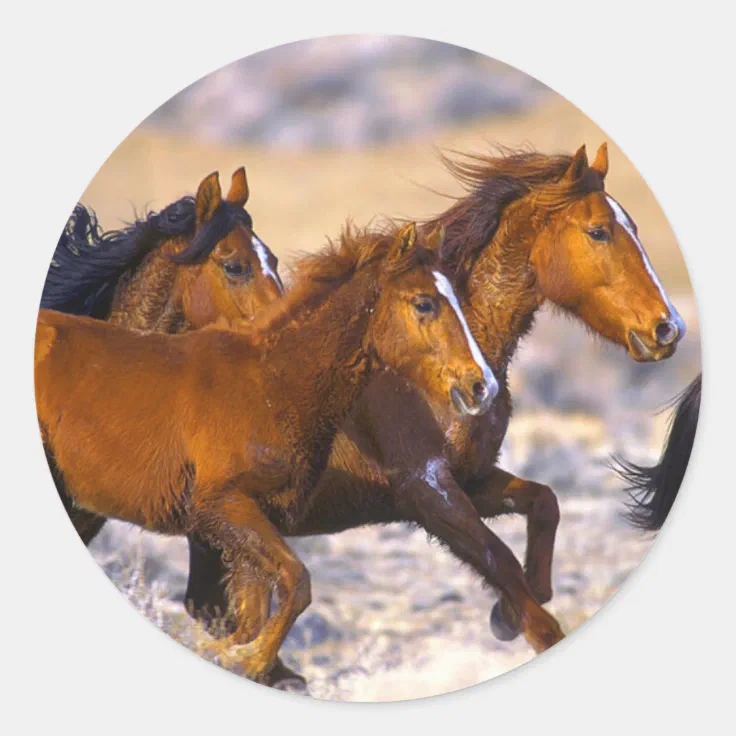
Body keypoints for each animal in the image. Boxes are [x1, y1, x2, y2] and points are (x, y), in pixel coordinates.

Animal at [35, 222, 499, 683]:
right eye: (424, 303)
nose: (482, 386)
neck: (271, 385)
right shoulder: (223, 507)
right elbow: (296, 582)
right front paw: (243, 657)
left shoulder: (256, 523)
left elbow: (257, 610)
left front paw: (240, 655)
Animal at [182, 142, 686, 666]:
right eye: (599, 231)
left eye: (632, 227)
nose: (667, 328)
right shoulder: (426, 490)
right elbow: (513, 580)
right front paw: (513, 615)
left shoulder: (470, 479)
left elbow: (543, 504)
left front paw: (510, 610)